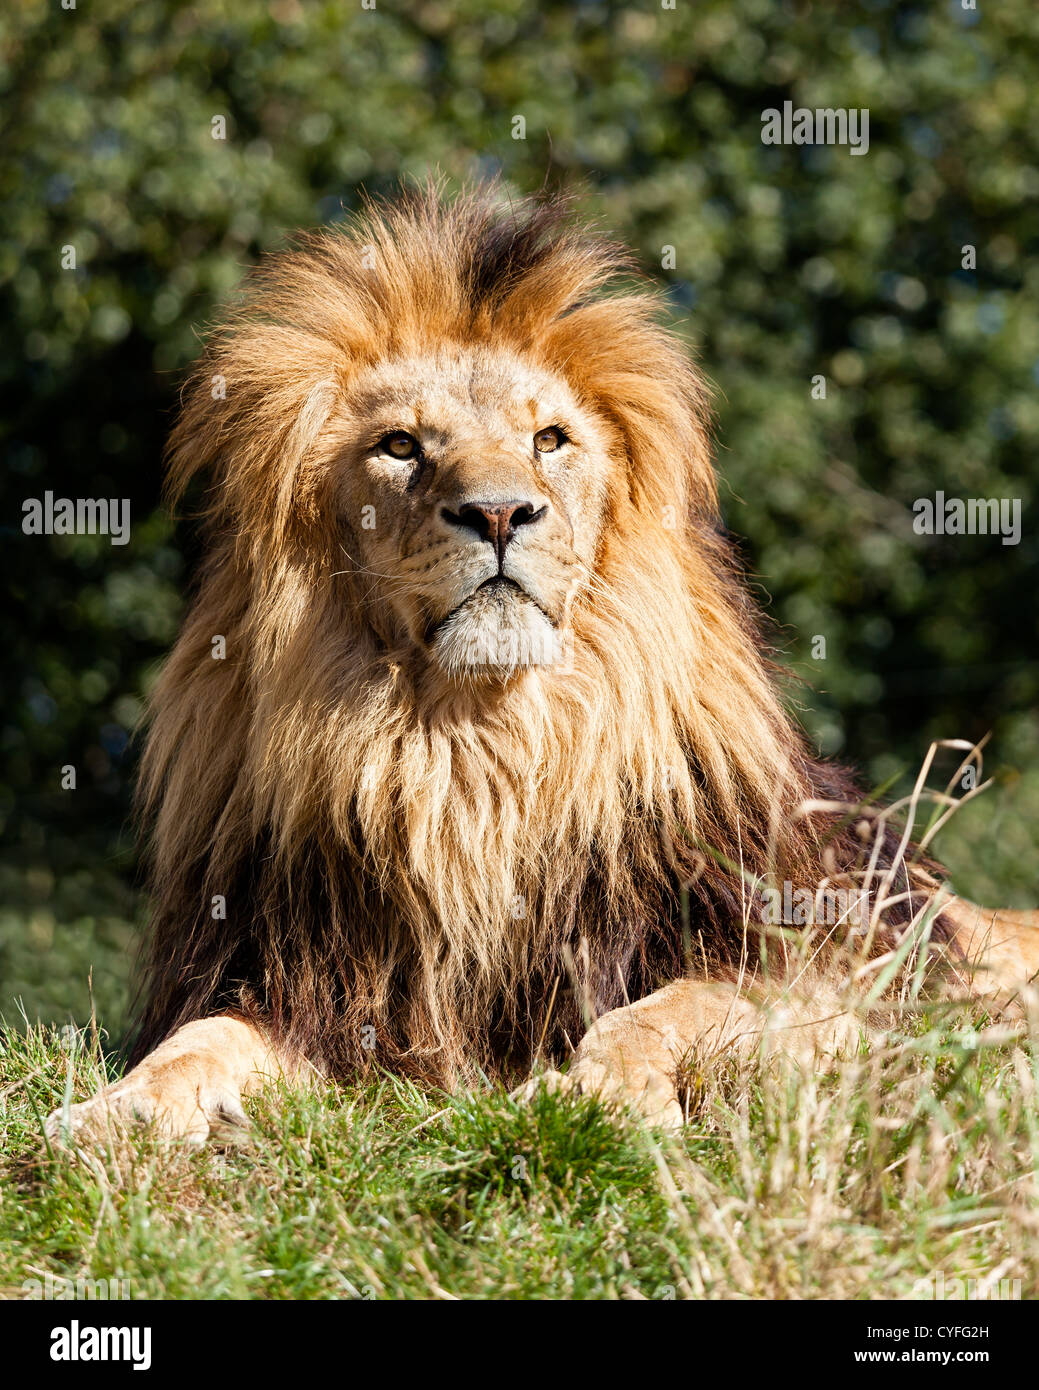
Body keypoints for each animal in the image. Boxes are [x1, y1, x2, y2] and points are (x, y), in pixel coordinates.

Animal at [46, 184, 1039, 1145]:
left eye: (549, 440)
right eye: (400, 446)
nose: (496, 513)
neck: (477, 756)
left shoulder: (818, 974)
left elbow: (663, 1010)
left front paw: (593, 1096)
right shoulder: (311, 990)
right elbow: (203, 1035)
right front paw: (121, 1107)